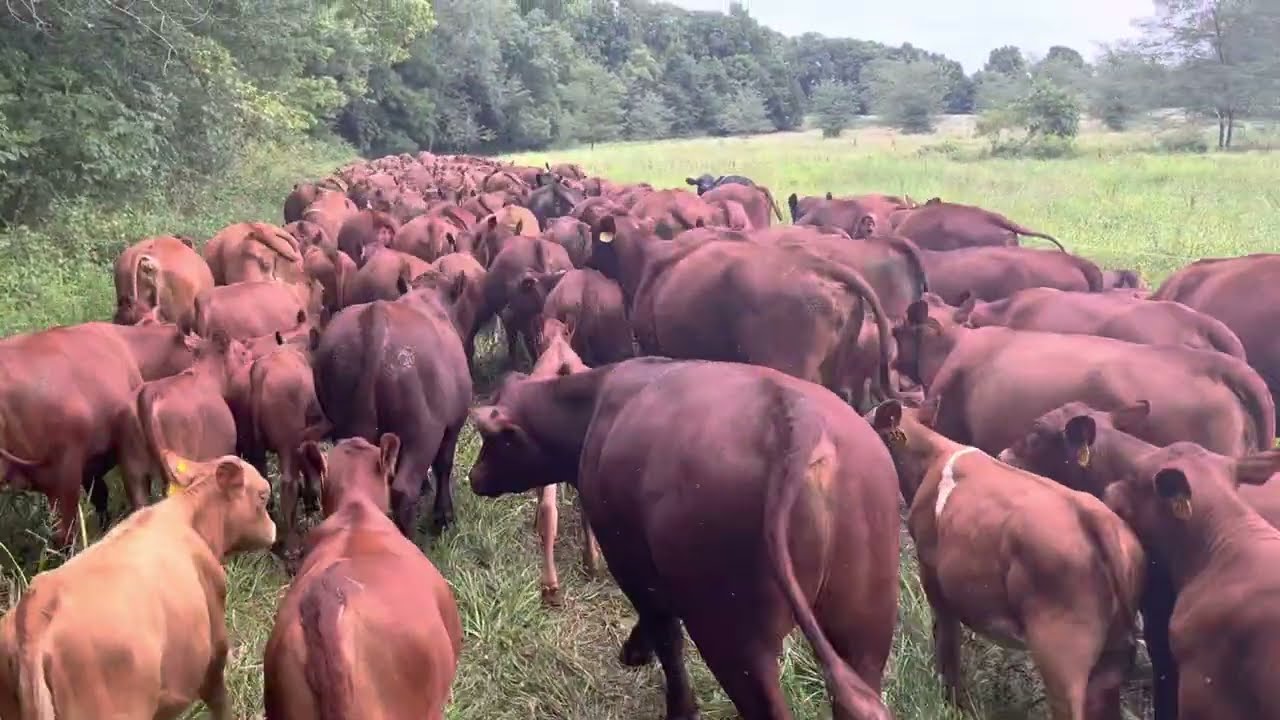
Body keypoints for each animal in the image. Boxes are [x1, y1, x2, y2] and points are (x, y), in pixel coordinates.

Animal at [469, 358, 899, 720]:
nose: (473, 477)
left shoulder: (629, 557)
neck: (597, 406)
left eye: (493, 441)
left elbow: (667, 636)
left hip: (735, 638)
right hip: (864, 629)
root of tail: (796, 417)